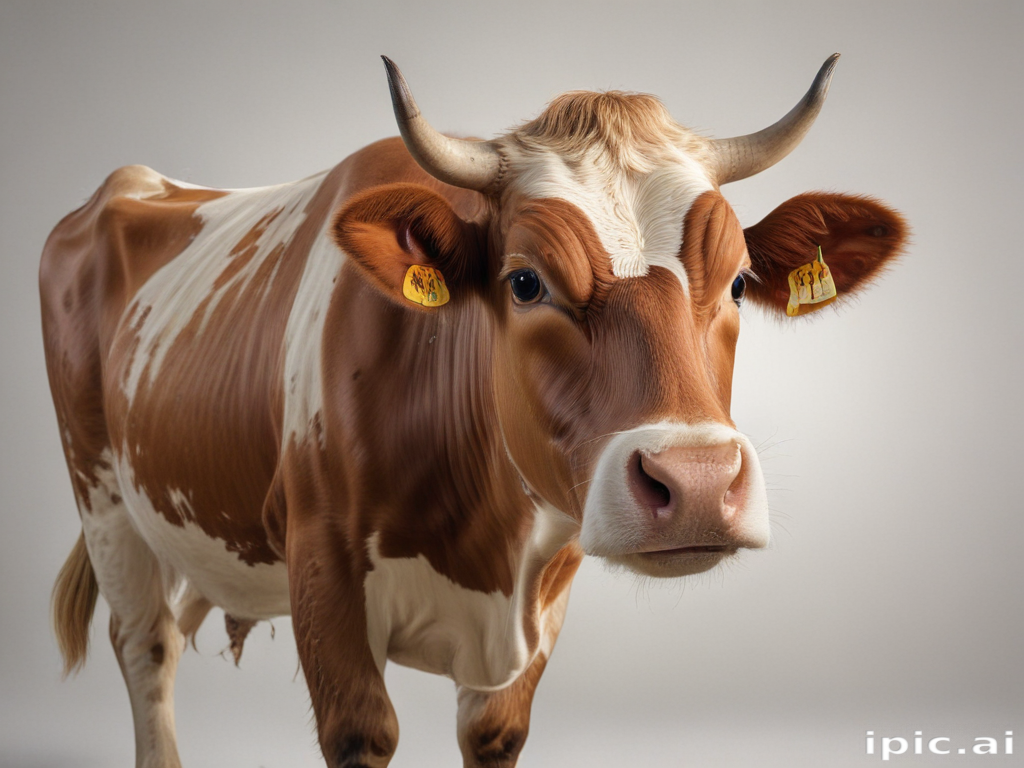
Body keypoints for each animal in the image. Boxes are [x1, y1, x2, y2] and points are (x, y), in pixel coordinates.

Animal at [41, 54, 905, 768]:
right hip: (103, 499)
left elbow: (495, 732)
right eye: (525, 282)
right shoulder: (321, 568)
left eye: (737, 282)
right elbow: (363, 730)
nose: (695, 483)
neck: (480, 540)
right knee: (145, 647)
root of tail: (133, 184)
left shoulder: (540, 600)